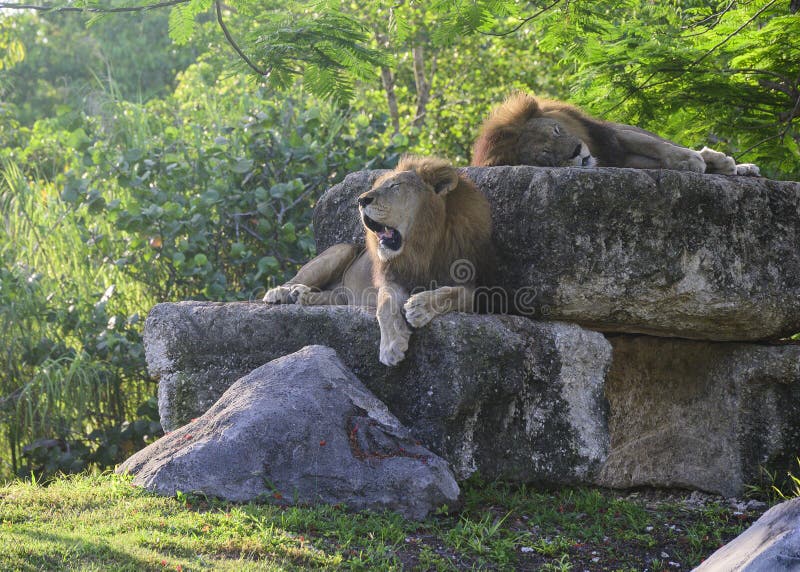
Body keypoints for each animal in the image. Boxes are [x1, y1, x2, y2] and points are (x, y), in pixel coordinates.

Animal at [264, 155, 494, 366]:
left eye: (395, 185)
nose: (360, 200)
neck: (421, 247)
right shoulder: (391, 279)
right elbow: (385, 304)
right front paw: (392, 345)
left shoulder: (472, 288)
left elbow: (453, 293)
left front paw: (419, 306)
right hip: (342, 249)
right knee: (298, 279)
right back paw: (281, 292)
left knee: (335, 297)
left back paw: (302, 295)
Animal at [472, 92, 760, 176]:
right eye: (545, 154)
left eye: (556, 130)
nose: (577, 152)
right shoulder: (622, 160)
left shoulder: (613, 136)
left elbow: (660, 147)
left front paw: (689, 160)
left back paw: (736, 166)